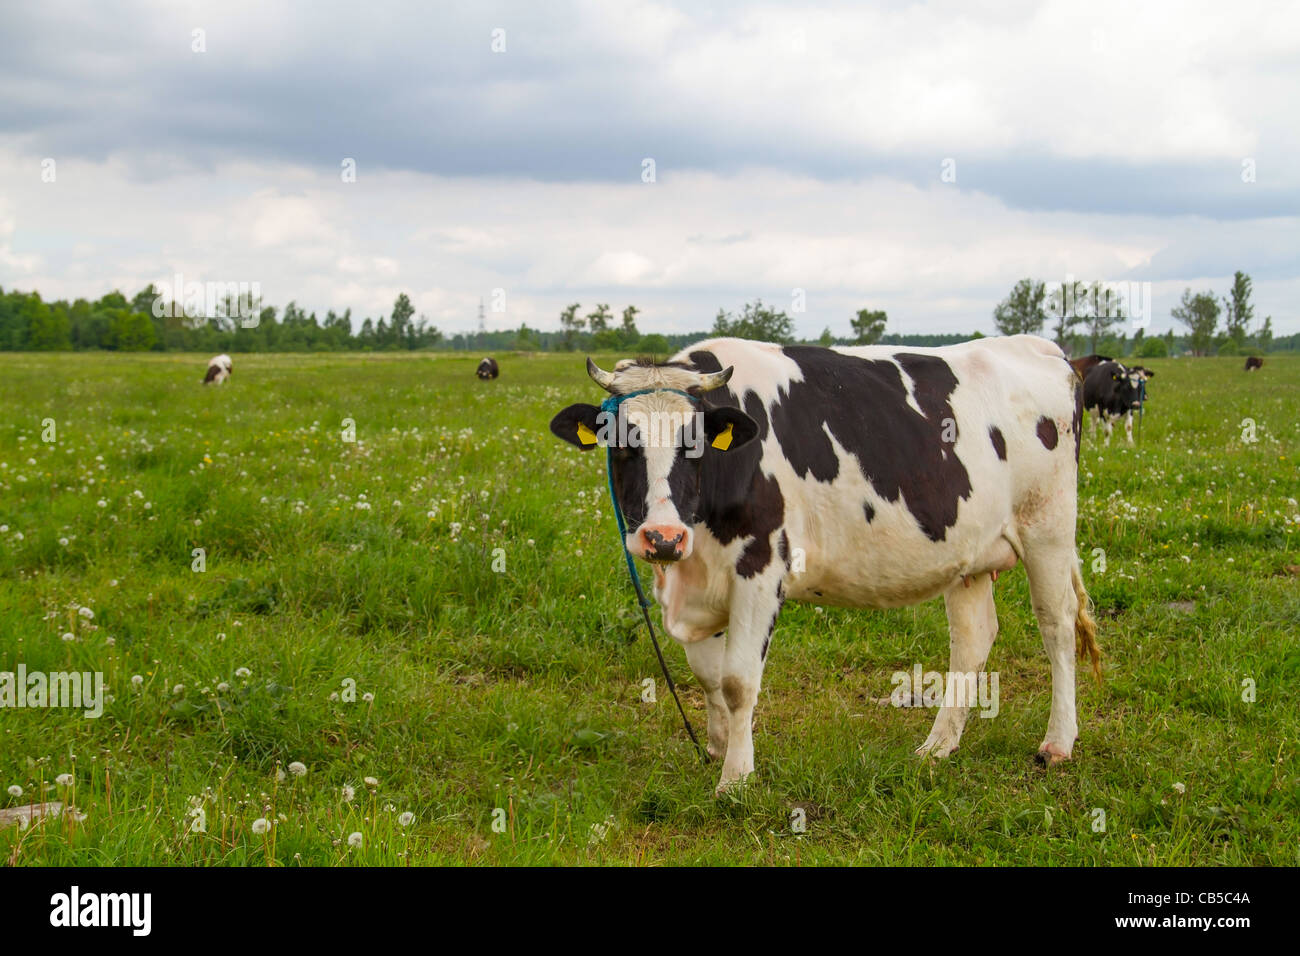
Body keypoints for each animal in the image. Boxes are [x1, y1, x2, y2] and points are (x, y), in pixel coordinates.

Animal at [550, 336, 1099, 793]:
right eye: (620, 444)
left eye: (696, 444)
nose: (662, 537)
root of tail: (1043, 348)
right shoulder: (697, 579)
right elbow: (708, 676)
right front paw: (719, 747)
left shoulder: (760, 566)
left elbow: (737, 681)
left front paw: (735, 779)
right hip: (969, 551)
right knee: (973, 639)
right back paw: (937, 746)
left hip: (1047, 526)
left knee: (1056, 625)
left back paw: (1057, 743)